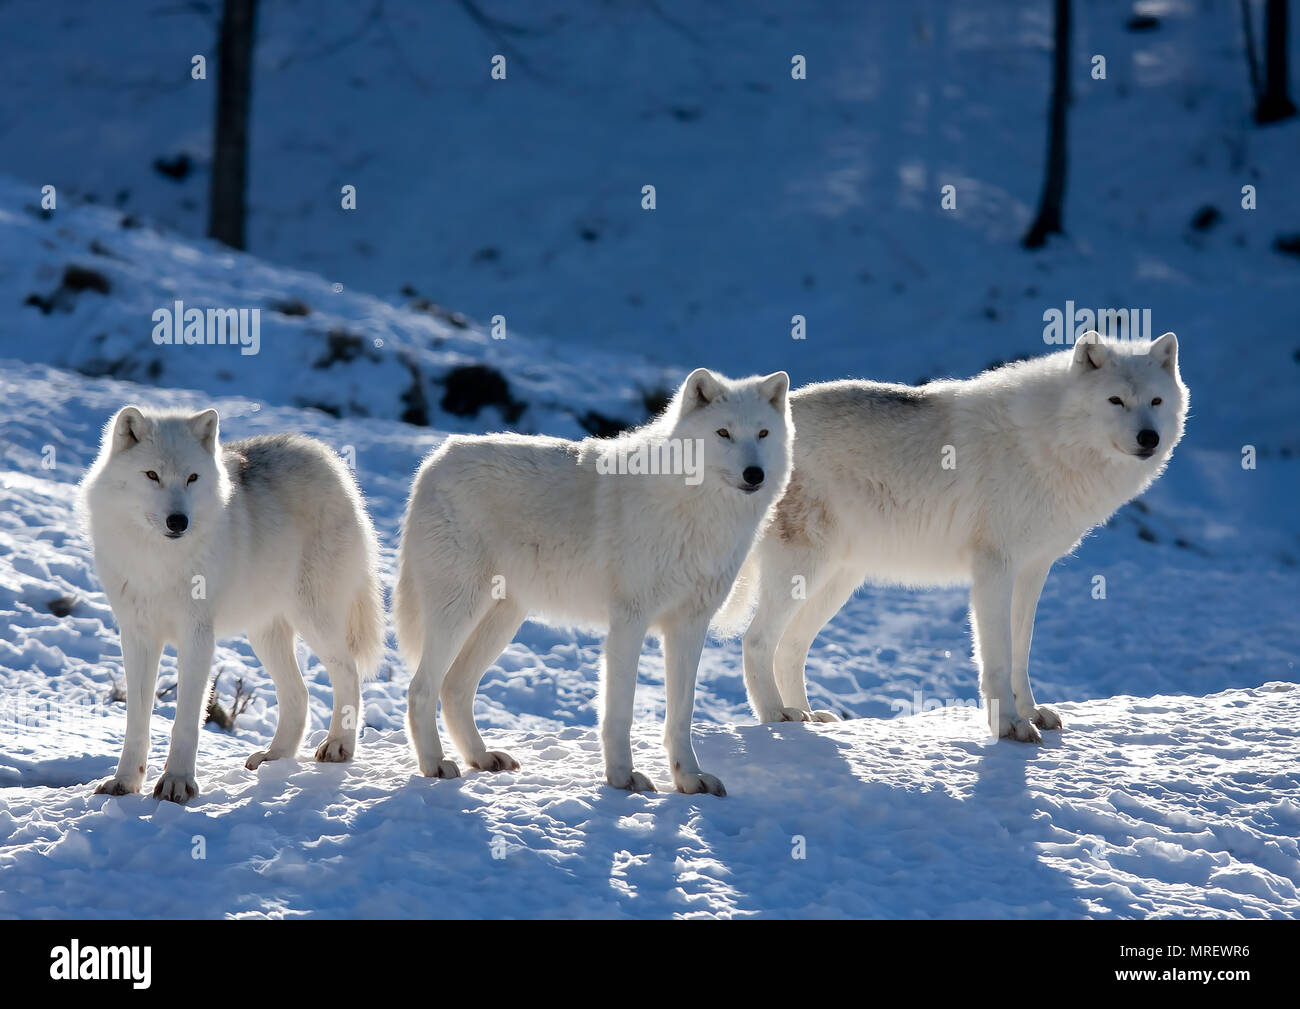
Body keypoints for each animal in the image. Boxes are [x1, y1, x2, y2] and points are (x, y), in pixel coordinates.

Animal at [81, 406, 383, 802]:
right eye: (152, 475)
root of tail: (325, 457)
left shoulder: (197, 635)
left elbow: (186, 720)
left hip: (314, 619)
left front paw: (177, 783)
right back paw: (274, 756)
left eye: (192, 478)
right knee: (299, 693)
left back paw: (338, 746)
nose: (178, 521)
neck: (159, 561)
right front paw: (125, 782)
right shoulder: (136, 634)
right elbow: (137, 721)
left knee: (348, 672)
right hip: (264, 634)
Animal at [394, 368, 793, 795]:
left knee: (453, 688)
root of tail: (433, 460)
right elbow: (619, 712)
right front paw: (622, 777)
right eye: (723, 433)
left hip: (503, 621)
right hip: (459, 613)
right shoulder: (629, 622)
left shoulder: (689, 625)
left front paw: (688, 777)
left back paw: (481, 758)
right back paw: (434, 764)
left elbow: (681, 715)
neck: (696, 511)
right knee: (420, 689)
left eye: (763, 433)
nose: (755, 474)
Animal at [722, 332, 1188, 741]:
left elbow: (1021, 652)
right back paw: (777, 716)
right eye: (1115, 400)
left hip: (837, 582)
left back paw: (806, 714)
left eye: (1156, 401)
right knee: (757, 641)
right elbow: (997, 659)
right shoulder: (994, 568)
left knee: (790, 647)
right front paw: (1010, 727)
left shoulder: (1032, 570)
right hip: (803, 571)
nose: (1149, 437)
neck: (1050, 441)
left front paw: (1031, 712)